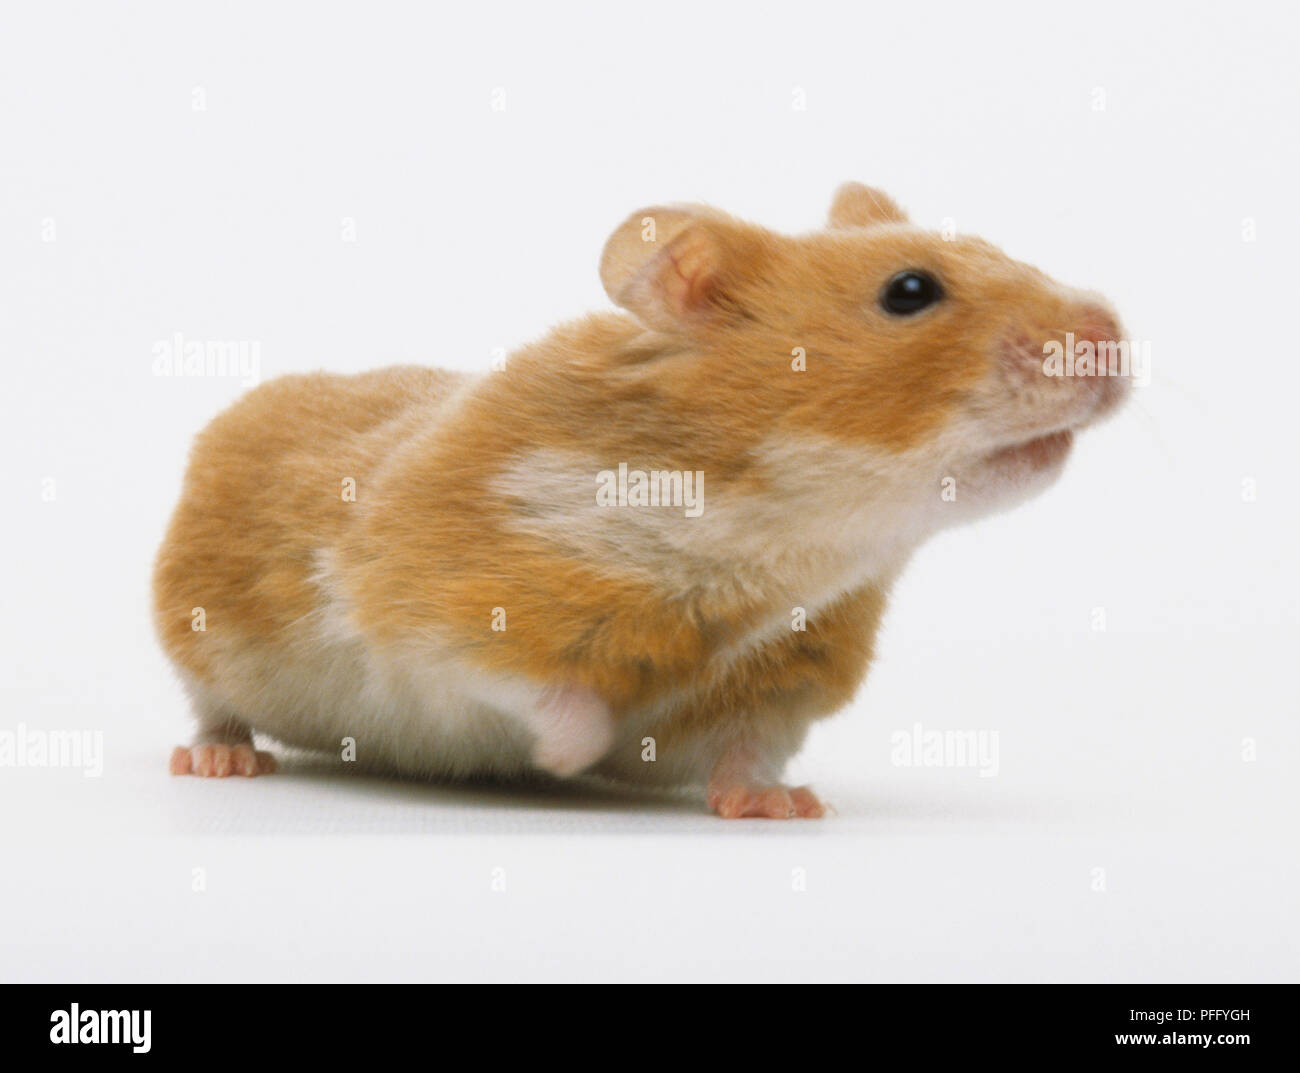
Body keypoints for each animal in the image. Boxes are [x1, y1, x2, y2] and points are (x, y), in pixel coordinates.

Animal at [153, 182, 1131, 818]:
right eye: (911, 291)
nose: (1116, 339)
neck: (776, 544)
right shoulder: (438, 611)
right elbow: (556, 701)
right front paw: (560, 763)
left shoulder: (782, 680)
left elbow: (747, 751)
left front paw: (788, 805)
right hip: (195, 631)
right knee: (211, 705)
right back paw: (219, 759)